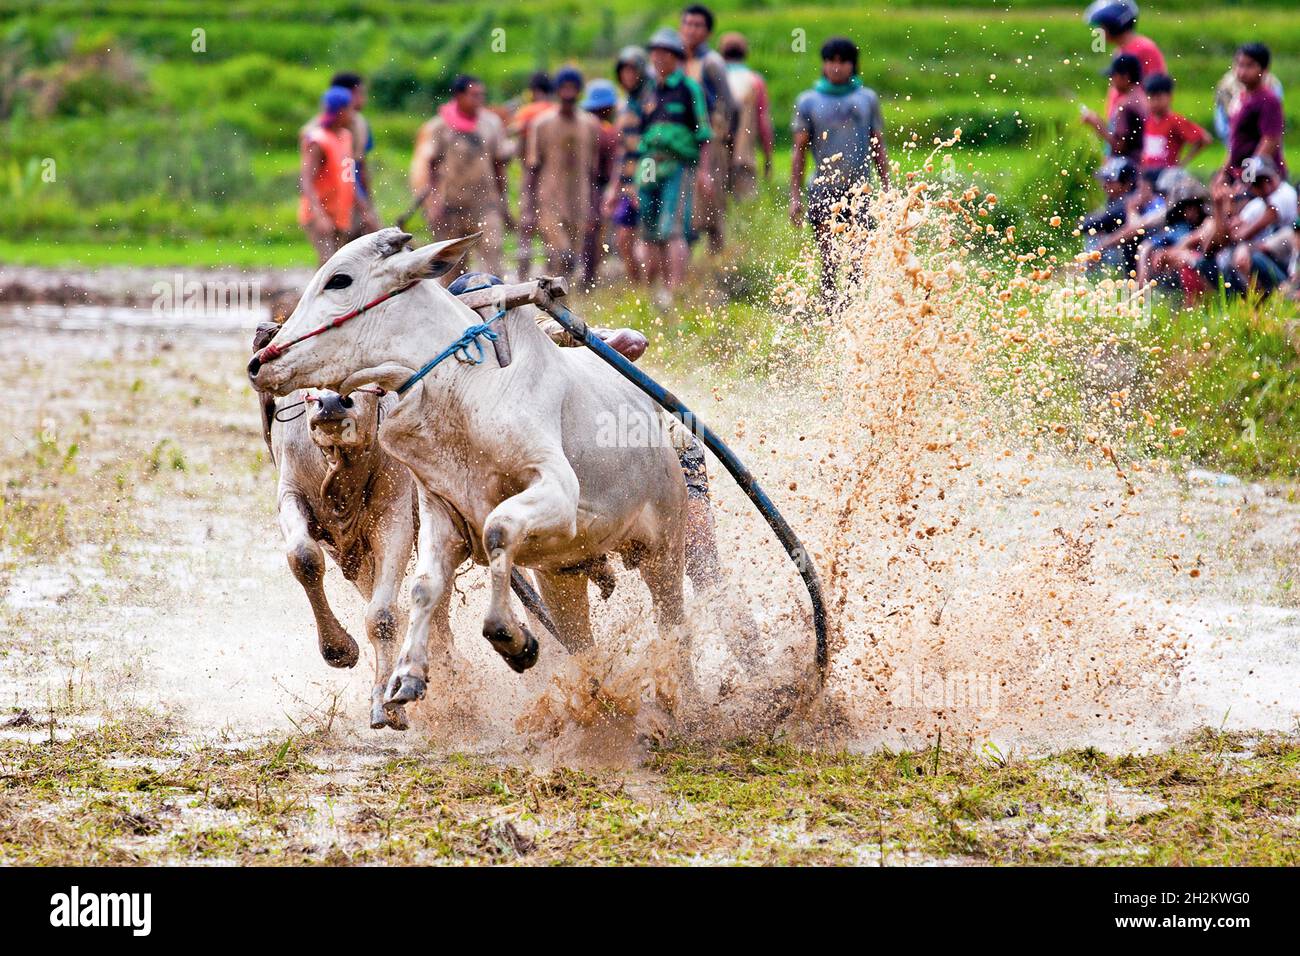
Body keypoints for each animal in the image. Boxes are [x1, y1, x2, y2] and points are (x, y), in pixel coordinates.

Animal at [248, 229, 693, 719]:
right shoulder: (436, 512)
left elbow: (498, 531)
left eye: (339, 280)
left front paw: (513, 640)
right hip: (563, 573)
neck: (462, 393)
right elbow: (418, 586)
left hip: (665, 547)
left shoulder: (550, 490)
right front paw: (406, 677)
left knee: (675, 626)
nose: (260, 362)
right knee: (580, 643)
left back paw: (679, 702)